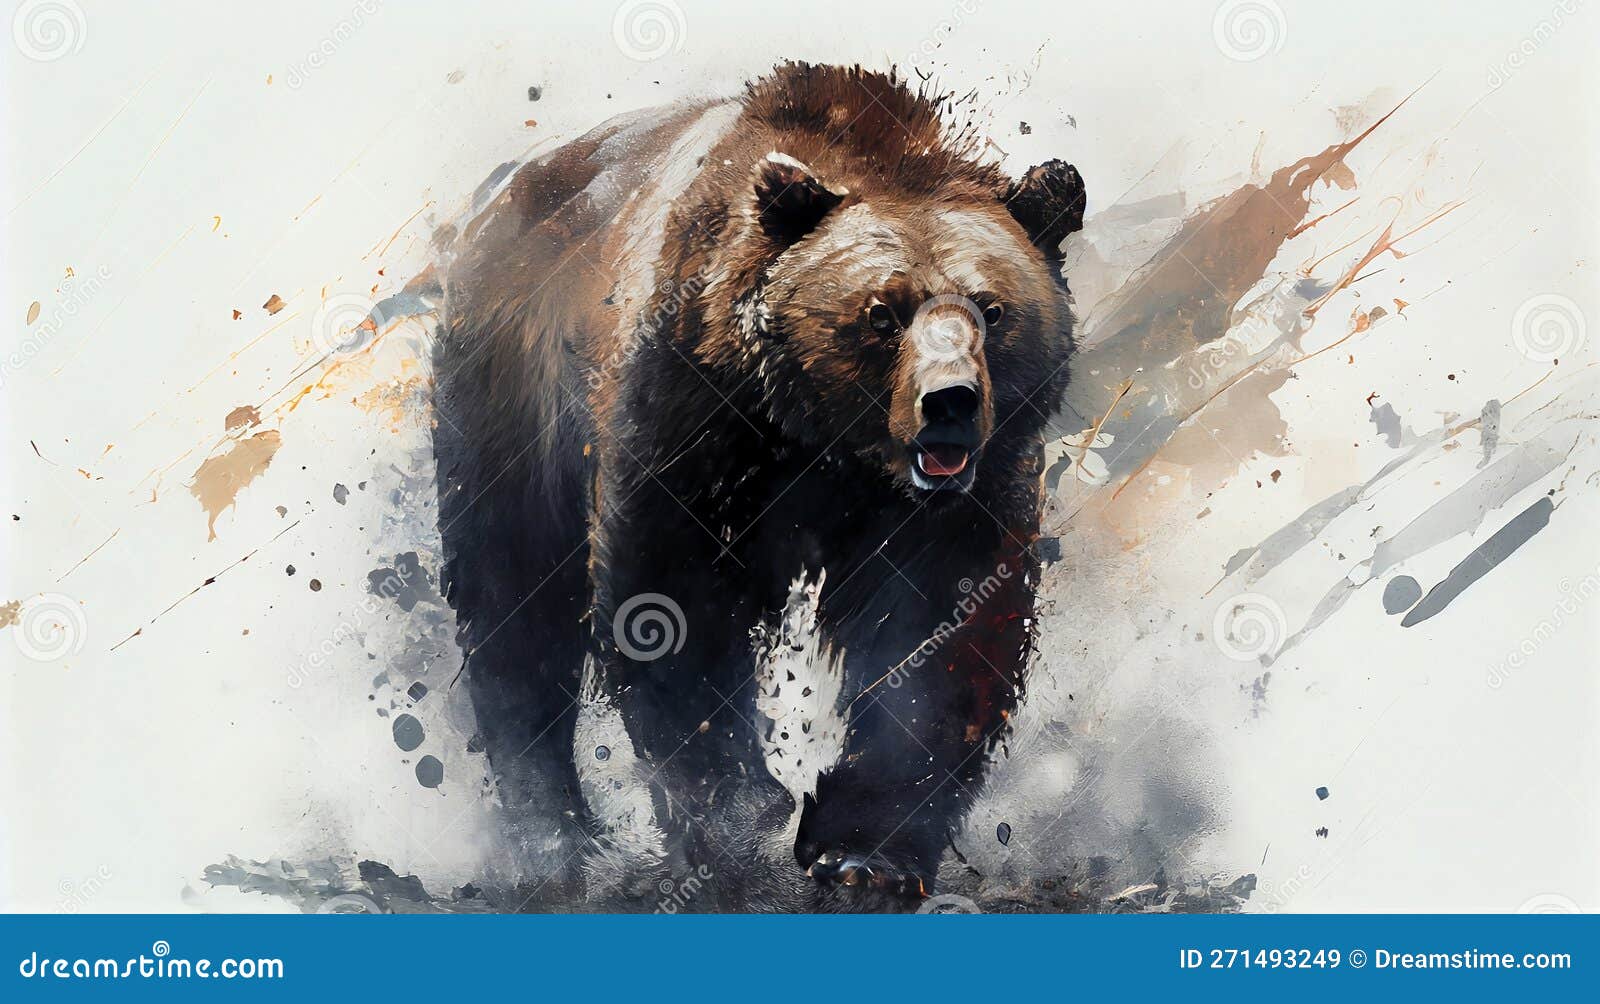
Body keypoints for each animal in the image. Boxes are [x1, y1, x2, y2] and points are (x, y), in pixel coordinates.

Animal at [431, 62, 1085, 904]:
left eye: (992, 310)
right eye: (882, 313)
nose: (950, 403)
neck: (822, 438)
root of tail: (496, 202)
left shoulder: (958, 494)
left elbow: (943, 625)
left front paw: (863, 853)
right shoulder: (694, 407)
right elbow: (672, 598)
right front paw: (741, 816)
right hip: (512, 385)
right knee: (512, 593)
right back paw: (553, 839)